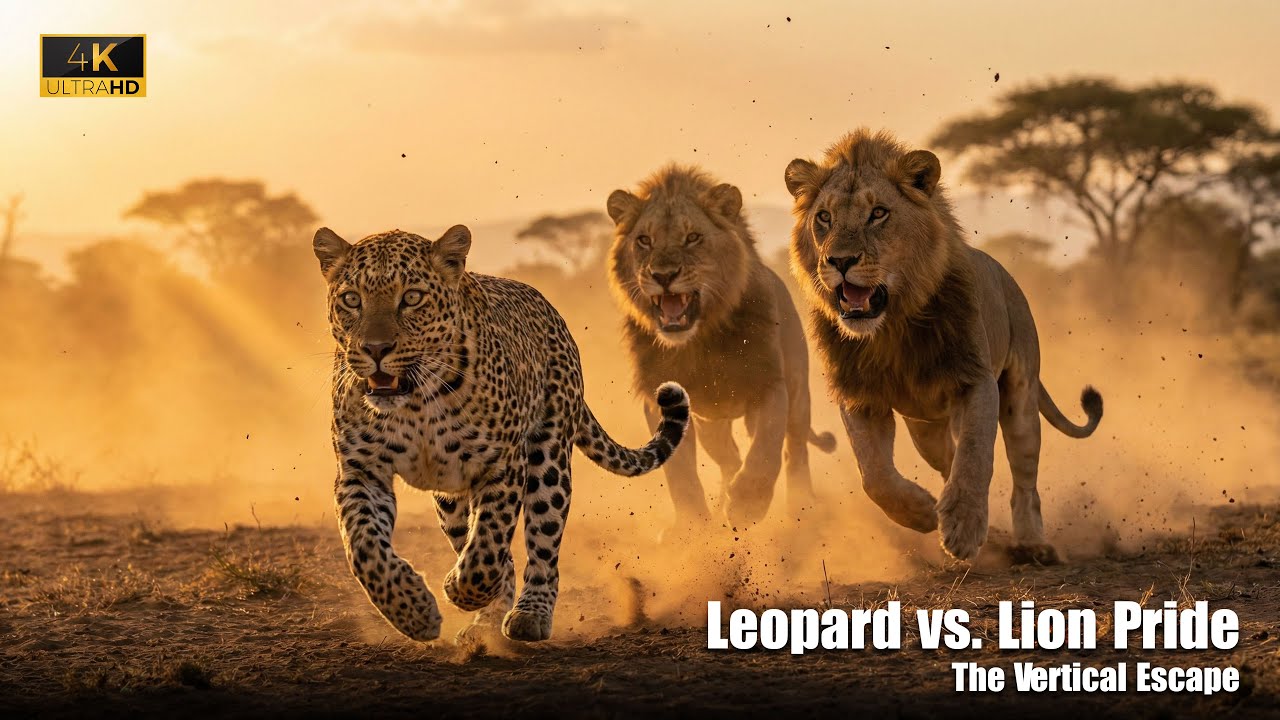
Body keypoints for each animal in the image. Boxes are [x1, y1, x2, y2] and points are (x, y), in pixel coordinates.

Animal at [606, 164, 836, 528]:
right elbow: (679, 473)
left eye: (692, 238)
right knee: (730, 458)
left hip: (799, 394)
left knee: (795, 451)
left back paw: (802, 508)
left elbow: (767, 445)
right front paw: (692, 528)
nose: (663, 275)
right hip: (710, 423)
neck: (699, 342)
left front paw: (748, 505)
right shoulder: (661, 399)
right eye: (644, 240)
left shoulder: (770, 383)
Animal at [783, 129, 1102, 562]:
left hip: (1020, 398)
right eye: (824, 218)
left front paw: (964, 527)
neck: (891, 327)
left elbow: (975, 455)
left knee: (1023, 480)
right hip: (925, 430)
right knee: (945, 459)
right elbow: (875, 475)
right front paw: (920, 511)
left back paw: (1031, 544)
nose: (840, 261)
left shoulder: (974, 382)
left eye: (878, 213)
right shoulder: (858, 396)